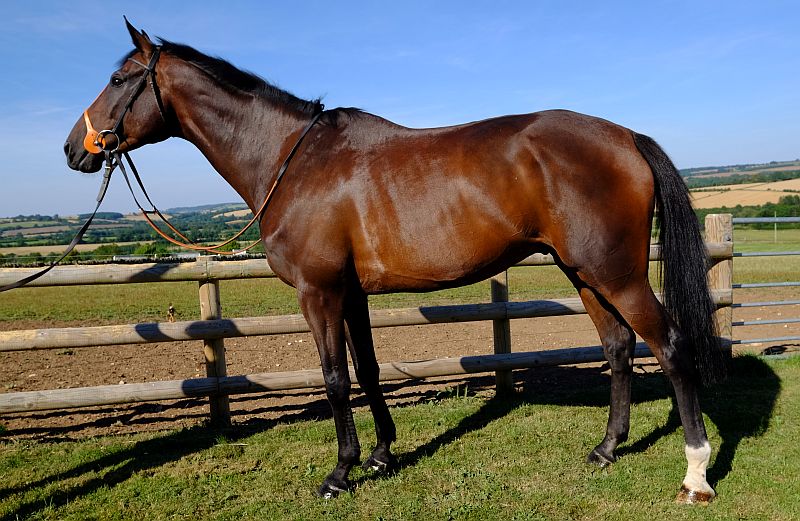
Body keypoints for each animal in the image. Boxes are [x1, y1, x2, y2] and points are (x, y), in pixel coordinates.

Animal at [64, 20, 726, 503]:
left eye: (119, 77)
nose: (75, 148)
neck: (290, 160)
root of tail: (627, 137)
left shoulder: (319, 292)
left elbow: (334, 379)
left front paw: (339, 474)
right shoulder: (351, 293)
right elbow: (368, 371)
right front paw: (381, 456)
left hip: (618, 273)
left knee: (669, 346)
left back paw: (695, 473)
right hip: (582, 272)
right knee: (618, 346)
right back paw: (607, 448)